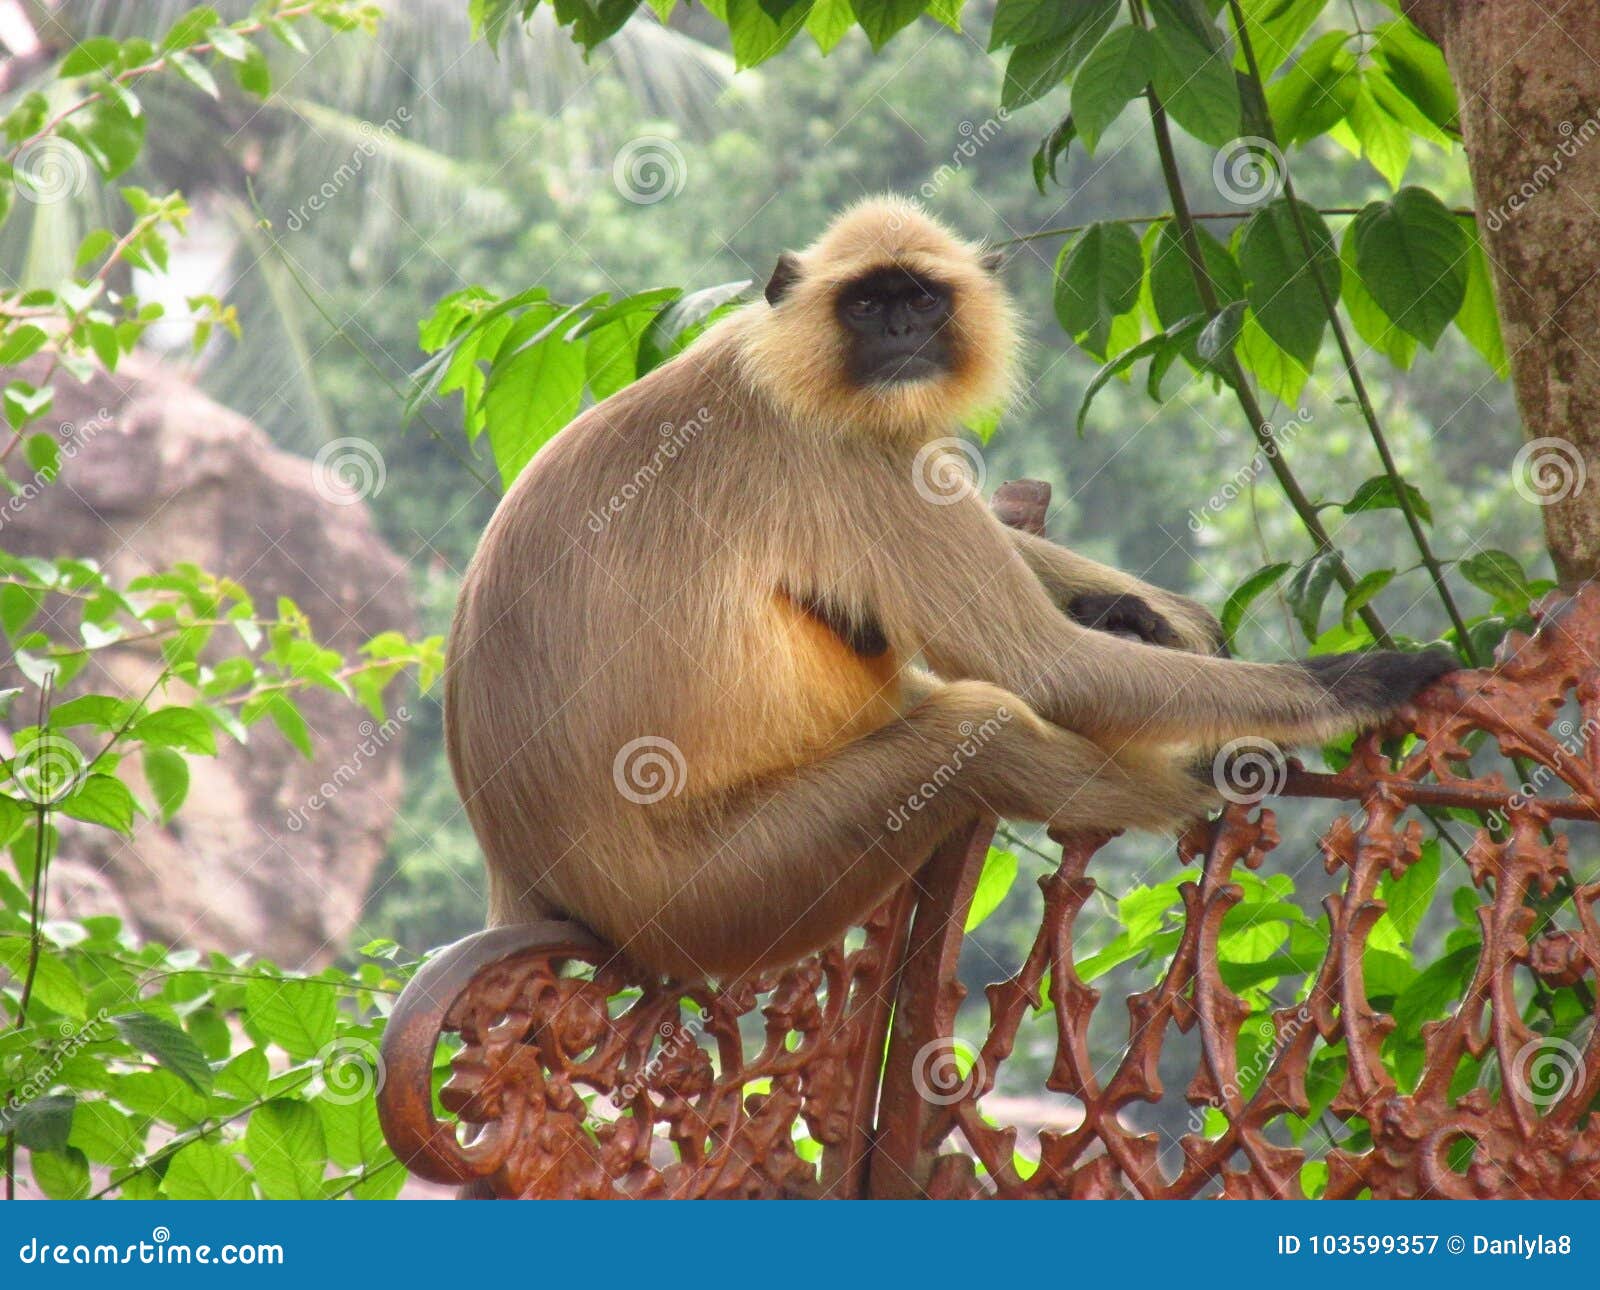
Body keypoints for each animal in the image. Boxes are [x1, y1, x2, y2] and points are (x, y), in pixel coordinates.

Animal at [444, 195, 1455, 982]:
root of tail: (521, 867)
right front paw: (1361, 681)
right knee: (982, 724)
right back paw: (1187, 778)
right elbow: (1046, 672)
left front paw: (1158, 613)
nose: (899, 332)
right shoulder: (853, 454)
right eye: (867, 303)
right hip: (722, 893)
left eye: (920, 298)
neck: (781, 367)